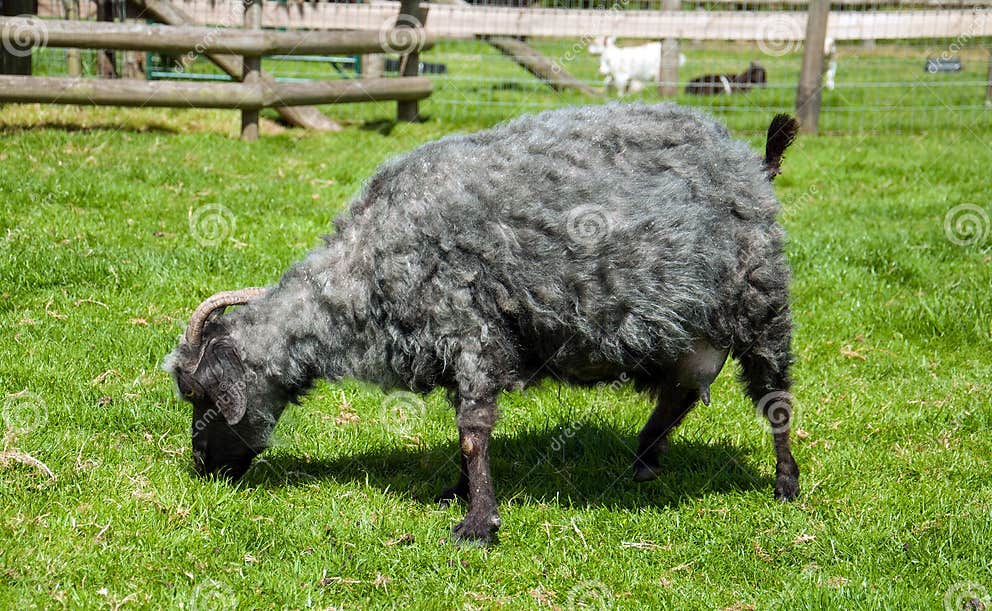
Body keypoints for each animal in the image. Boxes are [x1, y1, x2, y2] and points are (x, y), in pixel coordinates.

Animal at [166, 104, 801, 545]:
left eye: (200, 396)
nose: (203, 466)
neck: (366, 269)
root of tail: (752, 164)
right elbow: (463, 433)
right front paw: (456, 492)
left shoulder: (472, 333)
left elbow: (473, 433)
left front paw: (477, 522)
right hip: (691, 331)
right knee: (682, 391)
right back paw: (645, 460)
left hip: (760, 303)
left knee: (774, 398)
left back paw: (785, 483)